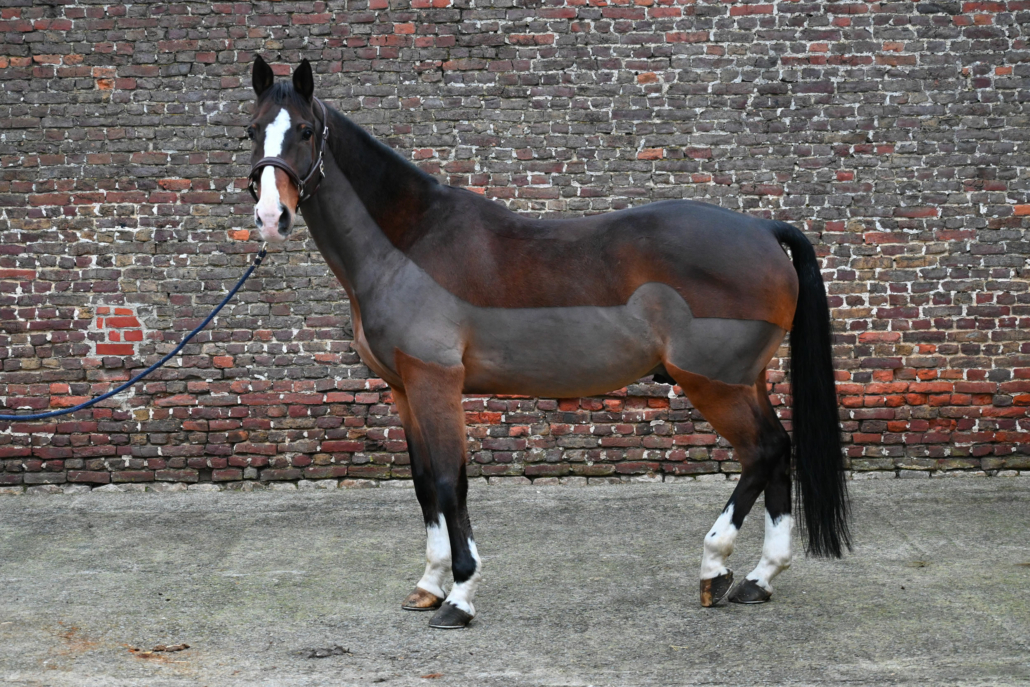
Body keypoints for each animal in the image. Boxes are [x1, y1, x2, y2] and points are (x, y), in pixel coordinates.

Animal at [245, 57, 851, 629]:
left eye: (305, 130)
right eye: (252, 130)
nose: (272, 217)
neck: (410, 244)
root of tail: (764, 228)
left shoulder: (435, 382)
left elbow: (449, 481)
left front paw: (459, 596)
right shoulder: (403, 389)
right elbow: (423, 485)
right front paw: (429, 584)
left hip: (713, 384)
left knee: (762, 452)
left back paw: (715, 566)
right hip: (744, 381)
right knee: (778, 453)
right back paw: (759, 578)